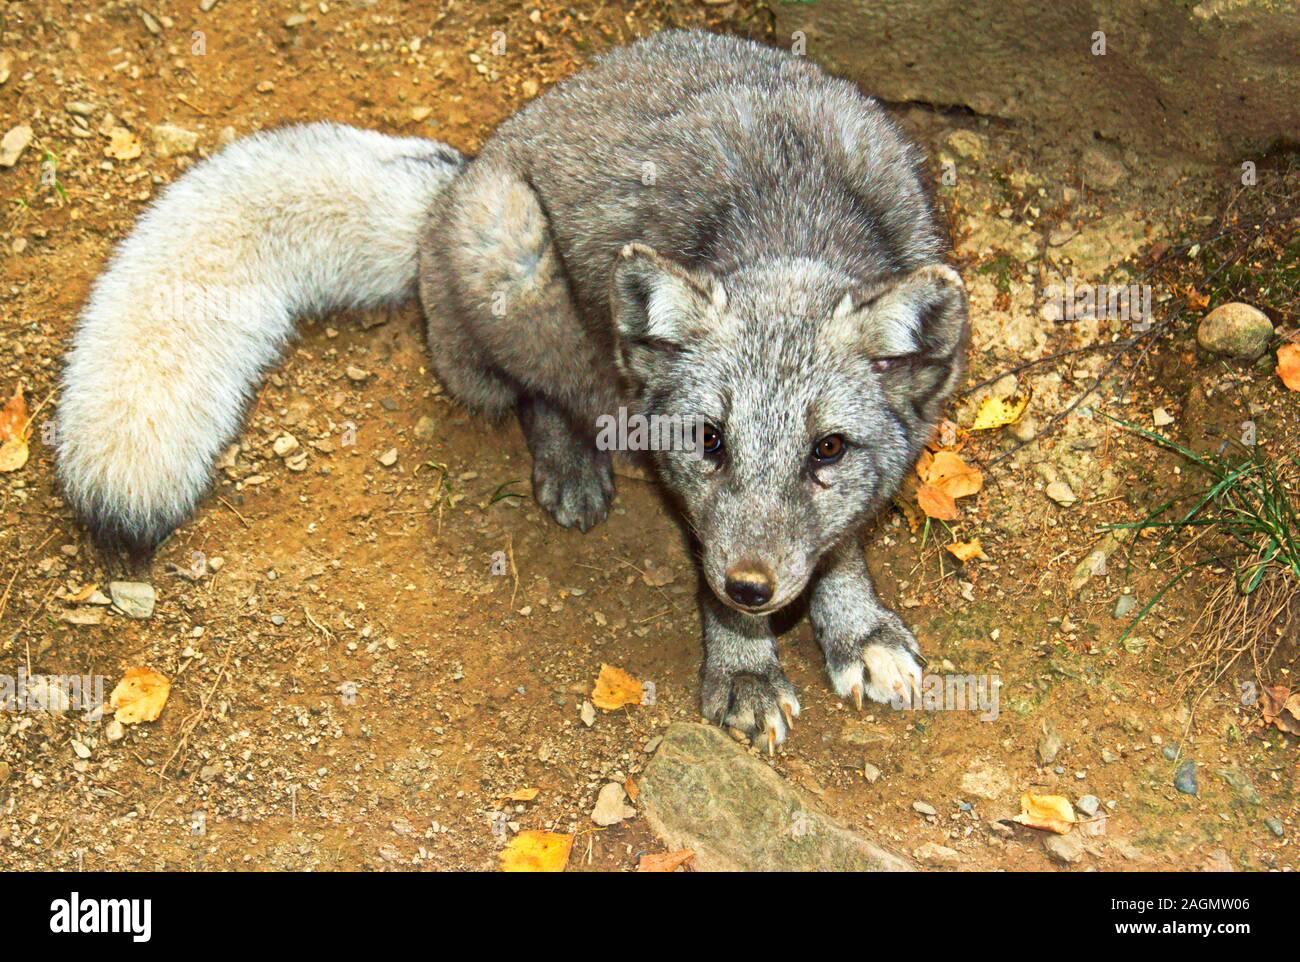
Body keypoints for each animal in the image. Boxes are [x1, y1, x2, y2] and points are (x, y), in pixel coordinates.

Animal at [56, 30, 968, 752]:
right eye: (710, 441)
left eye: (828, 450)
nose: (750, 587)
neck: (789, 220)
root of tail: (457, 178)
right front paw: (745, 666)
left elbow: (840, 545)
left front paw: (854, 629)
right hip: (524, 273)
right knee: (543, 395)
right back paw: (571, 468)